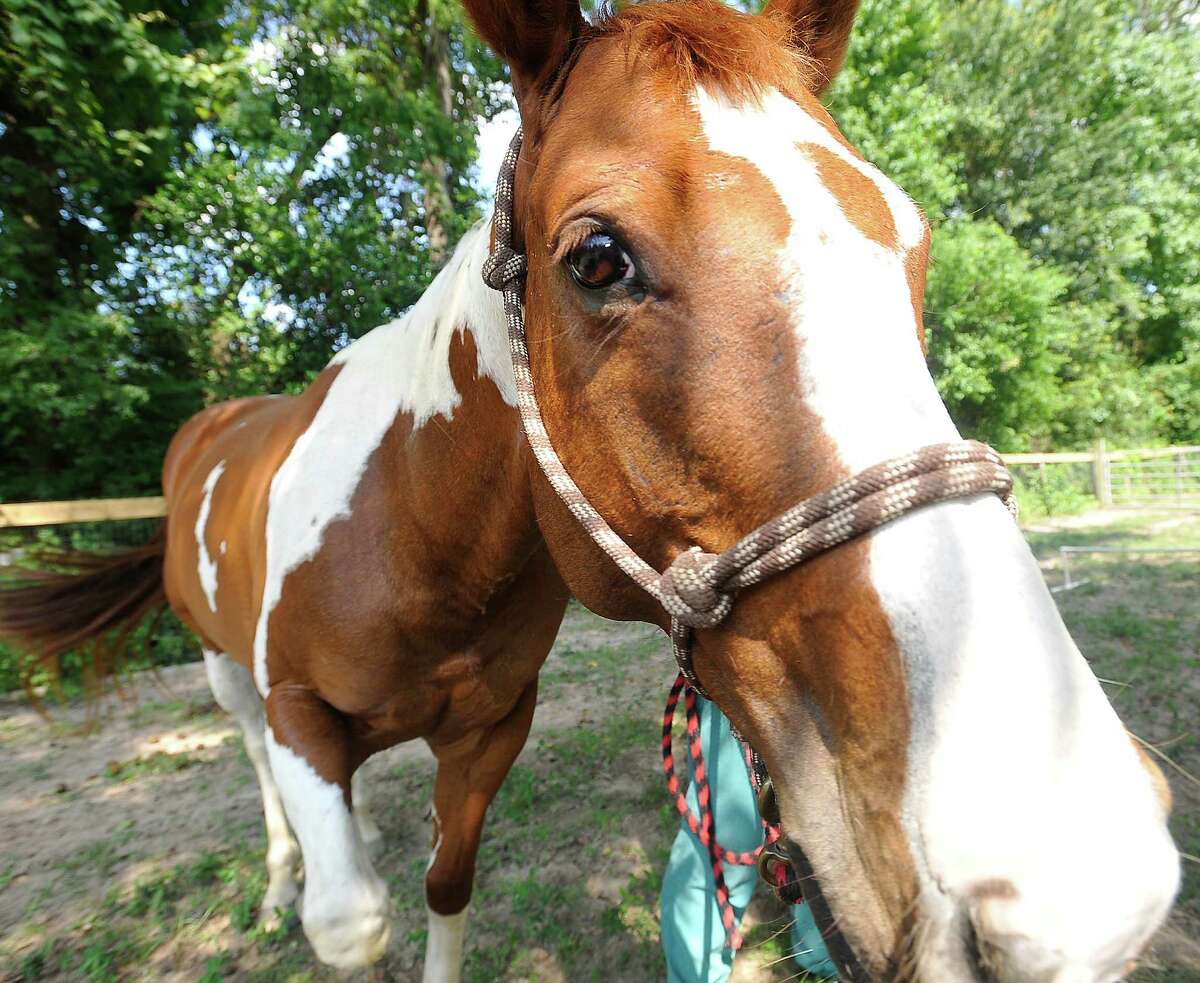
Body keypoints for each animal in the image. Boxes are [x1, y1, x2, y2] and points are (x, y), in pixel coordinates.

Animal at [0, 0, 1179, 979]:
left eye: (910, 239)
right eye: (597, 257)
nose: (1077, 871)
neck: (413, 536)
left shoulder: (488, 734)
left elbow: (444, 887)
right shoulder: (297, 704)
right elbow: (350, 921)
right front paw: (312, 890)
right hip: (224, 669)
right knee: (254, 760)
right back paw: (279, 875)